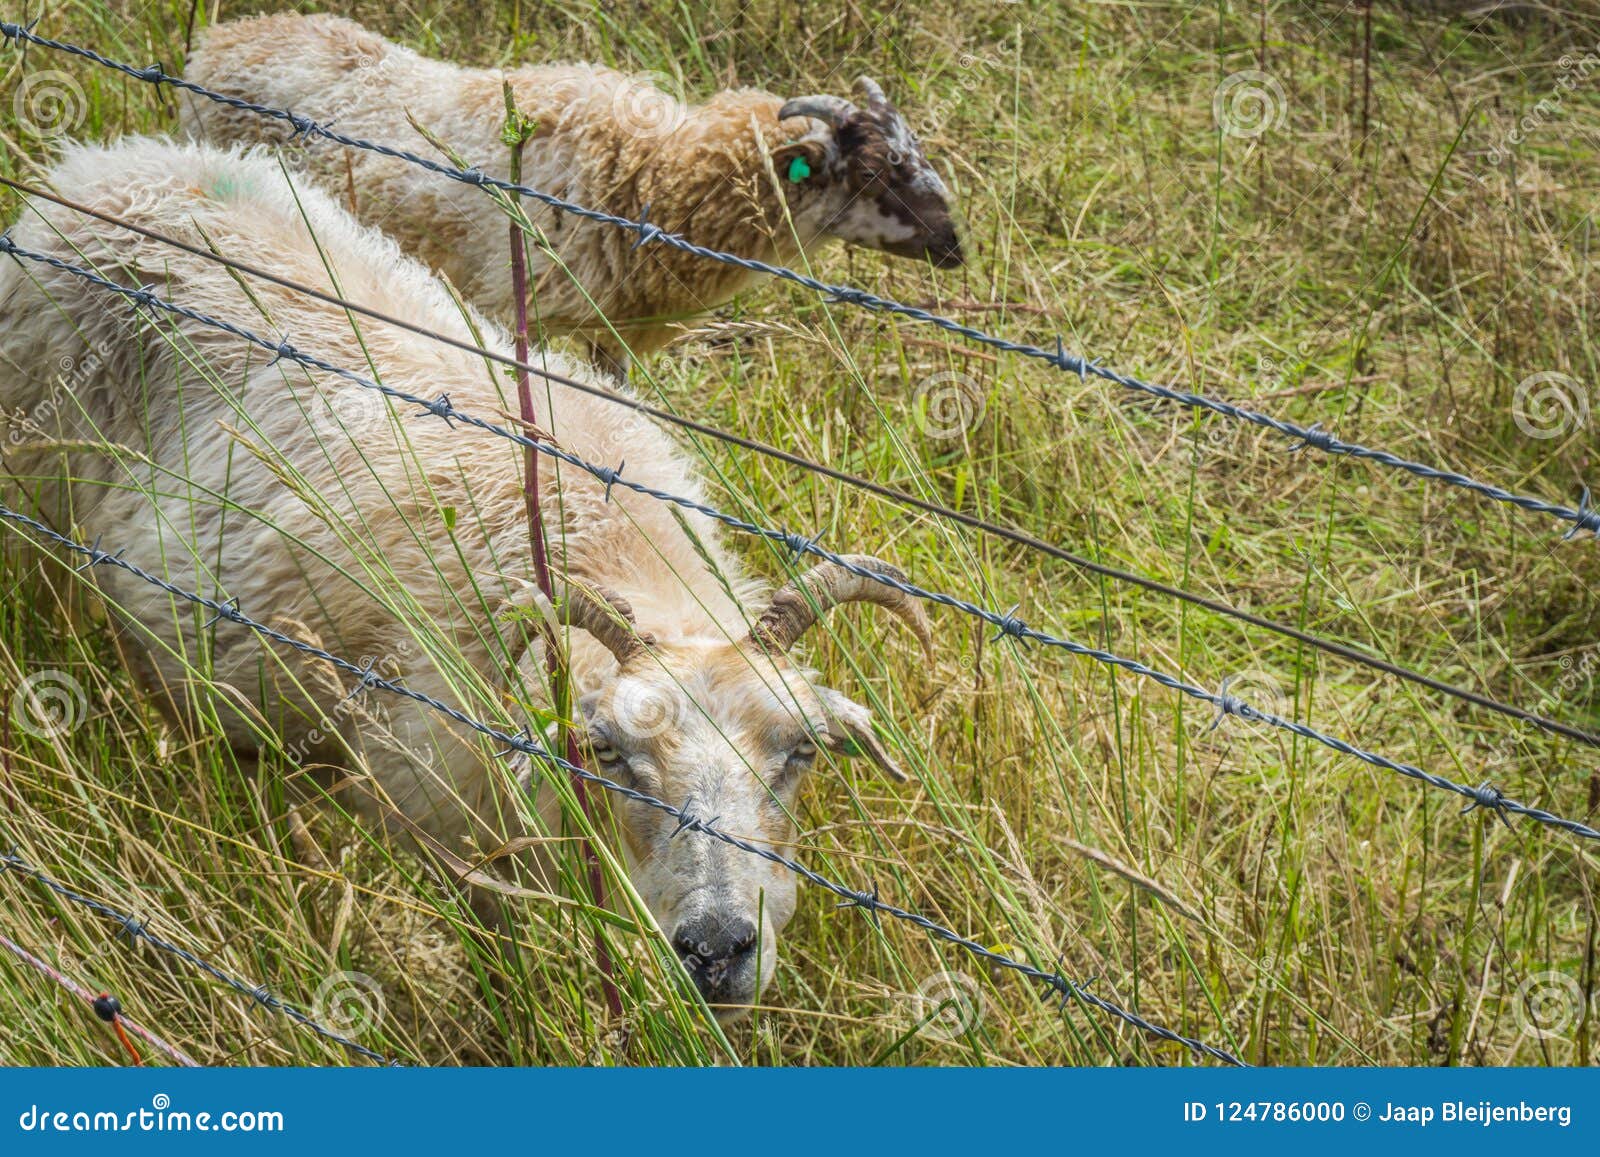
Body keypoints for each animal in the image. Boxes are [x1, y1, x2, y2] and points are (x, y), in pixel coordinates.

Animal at [0, 138, 934, 1017]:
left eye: (802, 749)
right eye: (609, 750)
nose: (715, 948)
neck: (612, 546)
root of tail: (101, 166)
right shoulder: (443, 816)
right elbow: (498, 951)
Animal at [178, 12, 964, 373]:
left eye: (918, 155)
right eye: (877, 173)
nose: (957, 248)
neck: (650, 173)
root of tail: (225, 37)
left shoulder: (614, 330)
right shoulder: (508, 306)